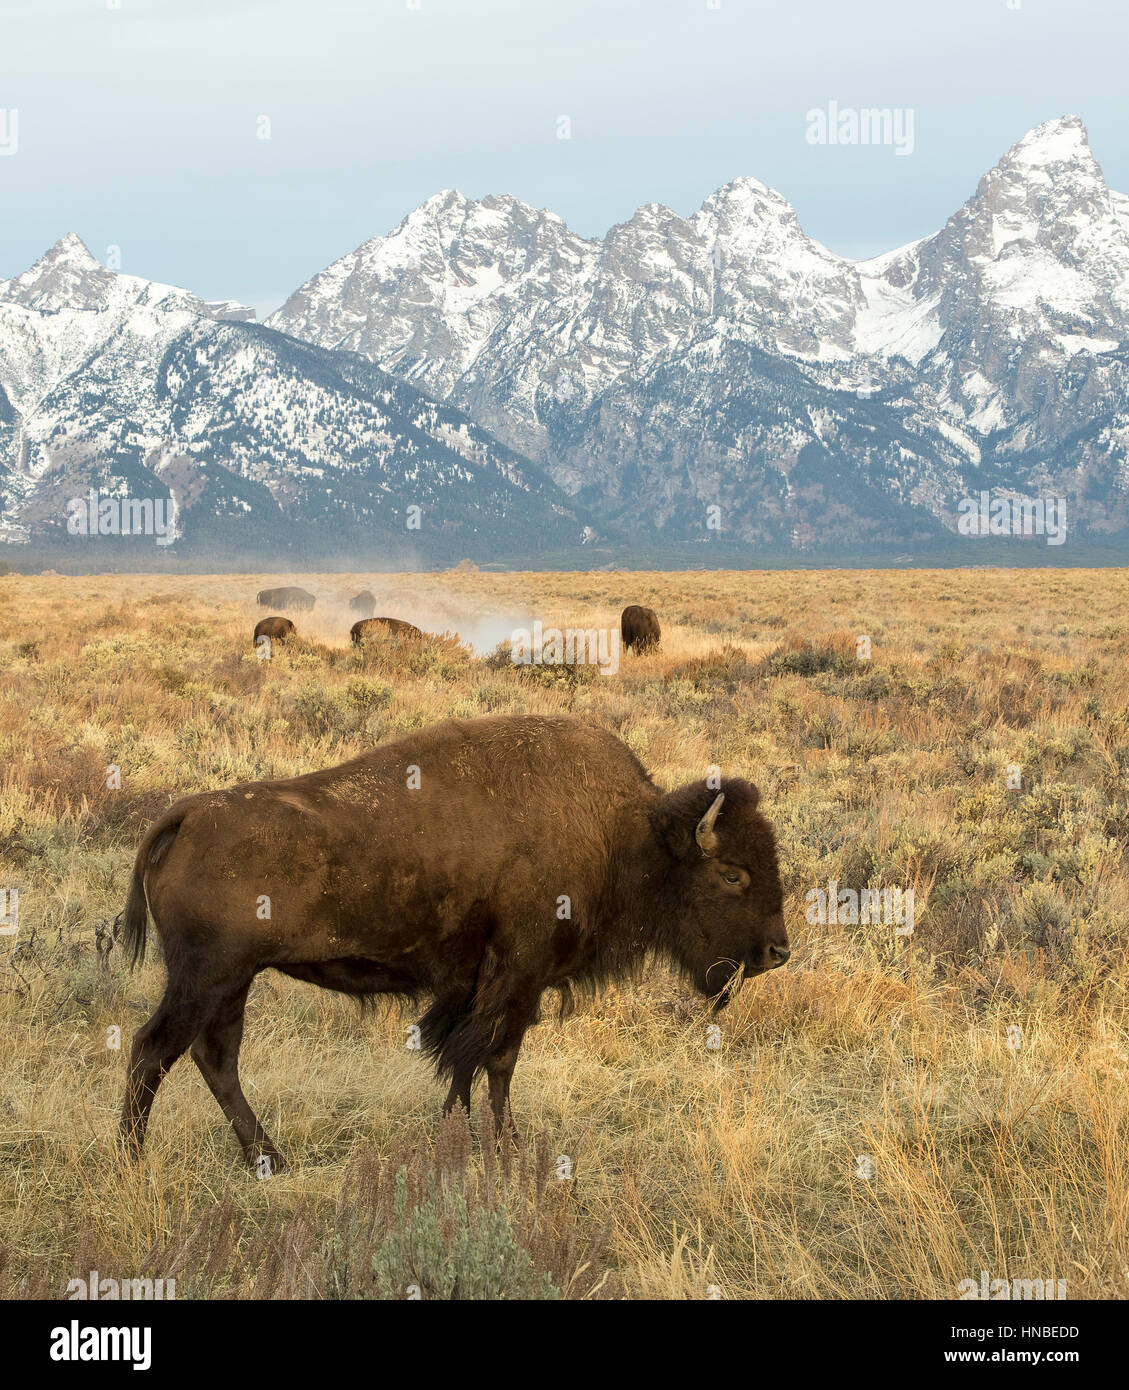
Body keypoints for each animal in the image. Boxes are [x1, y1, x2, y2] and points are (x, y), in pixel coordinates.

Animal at [118, 715, 787, 1169]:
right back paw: (133, 1161)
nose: (777, 952)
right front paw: (493, 1149)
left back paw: (271, 1161)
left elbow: (475, 1064)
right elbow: (492, 1059)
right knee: (154, 1049)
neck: (623, 832)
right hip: (207, 978)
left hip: (233, 982)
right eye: (732, 874)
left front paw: (474, 1143)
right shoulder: (517, 978)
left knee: (214, 1058)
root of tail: (187, 815)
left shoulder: (484, 986)